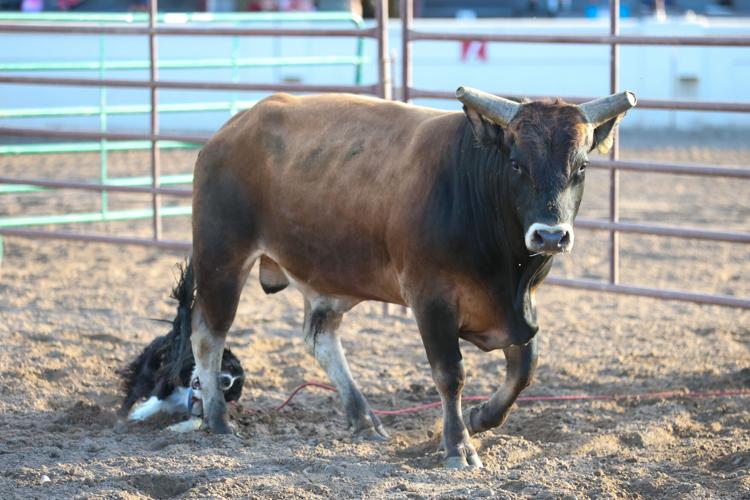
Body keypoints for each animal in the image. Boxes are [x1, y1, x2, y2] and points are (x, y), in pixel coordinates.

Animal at [182, 86, 636, 468]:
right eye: (516, 163)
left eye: (582, 166)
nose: (550, 235)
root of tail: (236, 126)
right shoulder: (431, 299)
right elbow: (450, 374)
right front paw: (458, 446)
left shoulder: (522, 306)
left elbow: (524, 370)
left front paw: (479, 417)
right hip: (222, 258)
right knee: (208, 335)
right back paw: (218, 420)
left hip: (325, 278)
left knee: (321, 339)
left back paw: (364, 418)